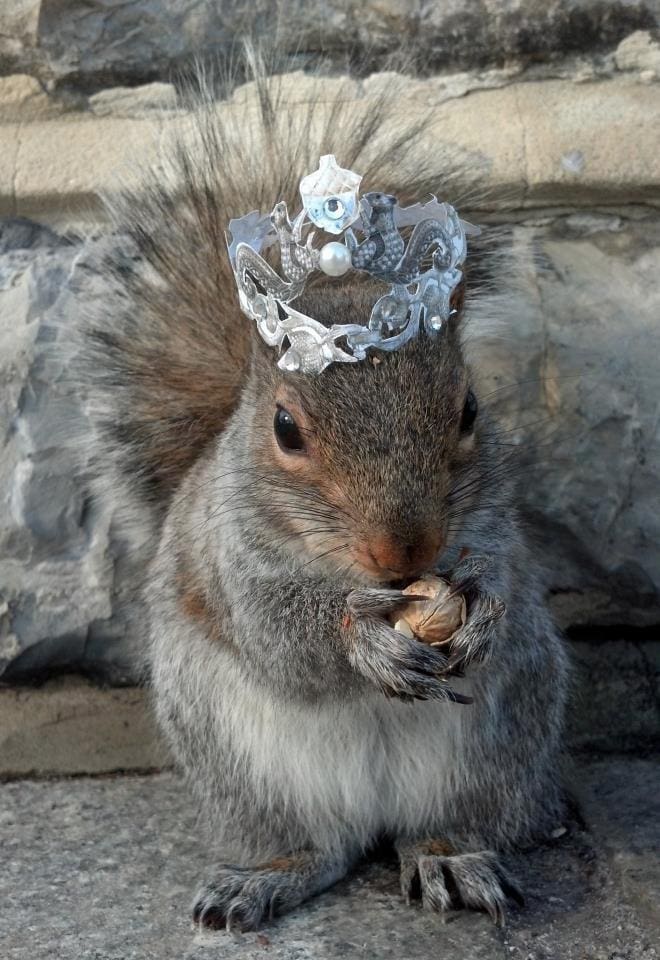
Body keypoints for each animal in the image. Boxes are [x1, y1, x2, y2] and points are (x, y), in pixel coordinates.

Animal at [78, 56, 569, 932]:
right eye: (285, 429)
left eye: (470, 409)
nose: (405, 549)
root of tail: (372, 816)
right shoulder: (229, 558)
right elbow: (282, 634)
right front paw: (360, 637)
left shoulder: (494, 526)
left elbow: (506, 579)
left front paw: (480, 612)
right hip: (240, 765)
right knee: (314, 847)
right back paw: (263, 877)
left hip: (502, 739)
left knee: (440, 825)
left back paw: (451, 858)